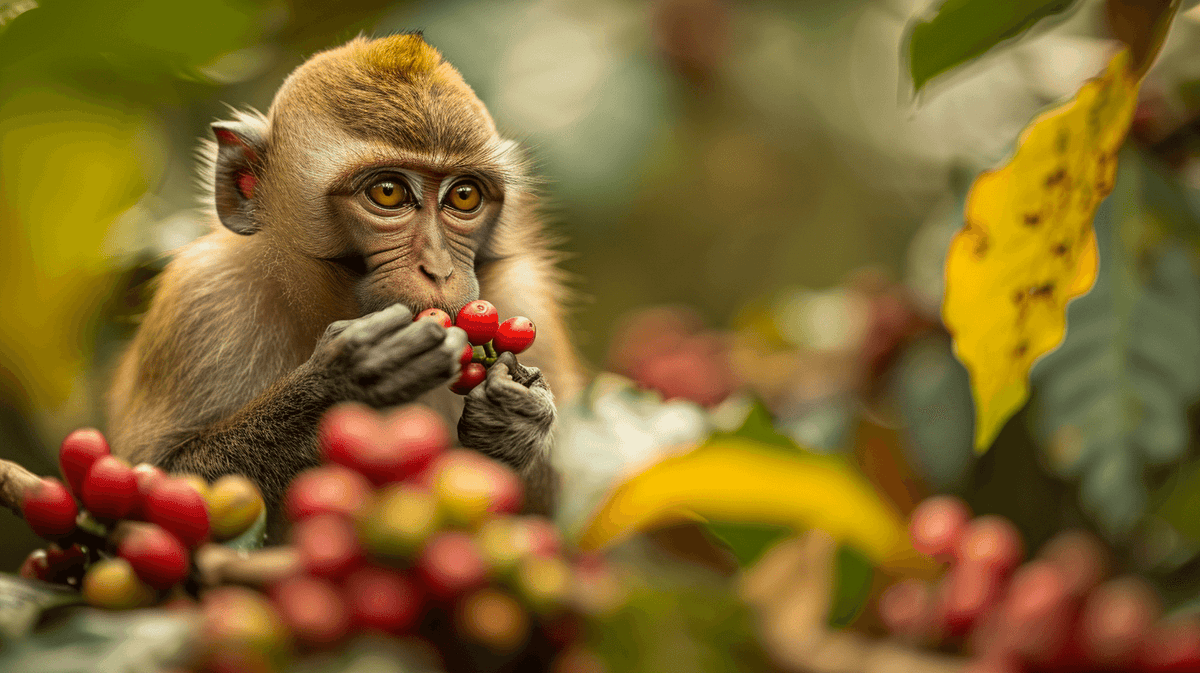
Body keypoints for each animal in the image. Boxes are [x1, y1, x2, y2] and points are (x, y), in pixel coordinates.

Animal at [104, 33, 586, 540]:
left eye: (464, 195)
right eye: (388, 193)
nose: (438, 270)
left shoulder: (525, 295)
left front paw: (517, 422)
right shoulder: (202, 298)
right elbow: (150, 493)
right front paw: (343, 382)